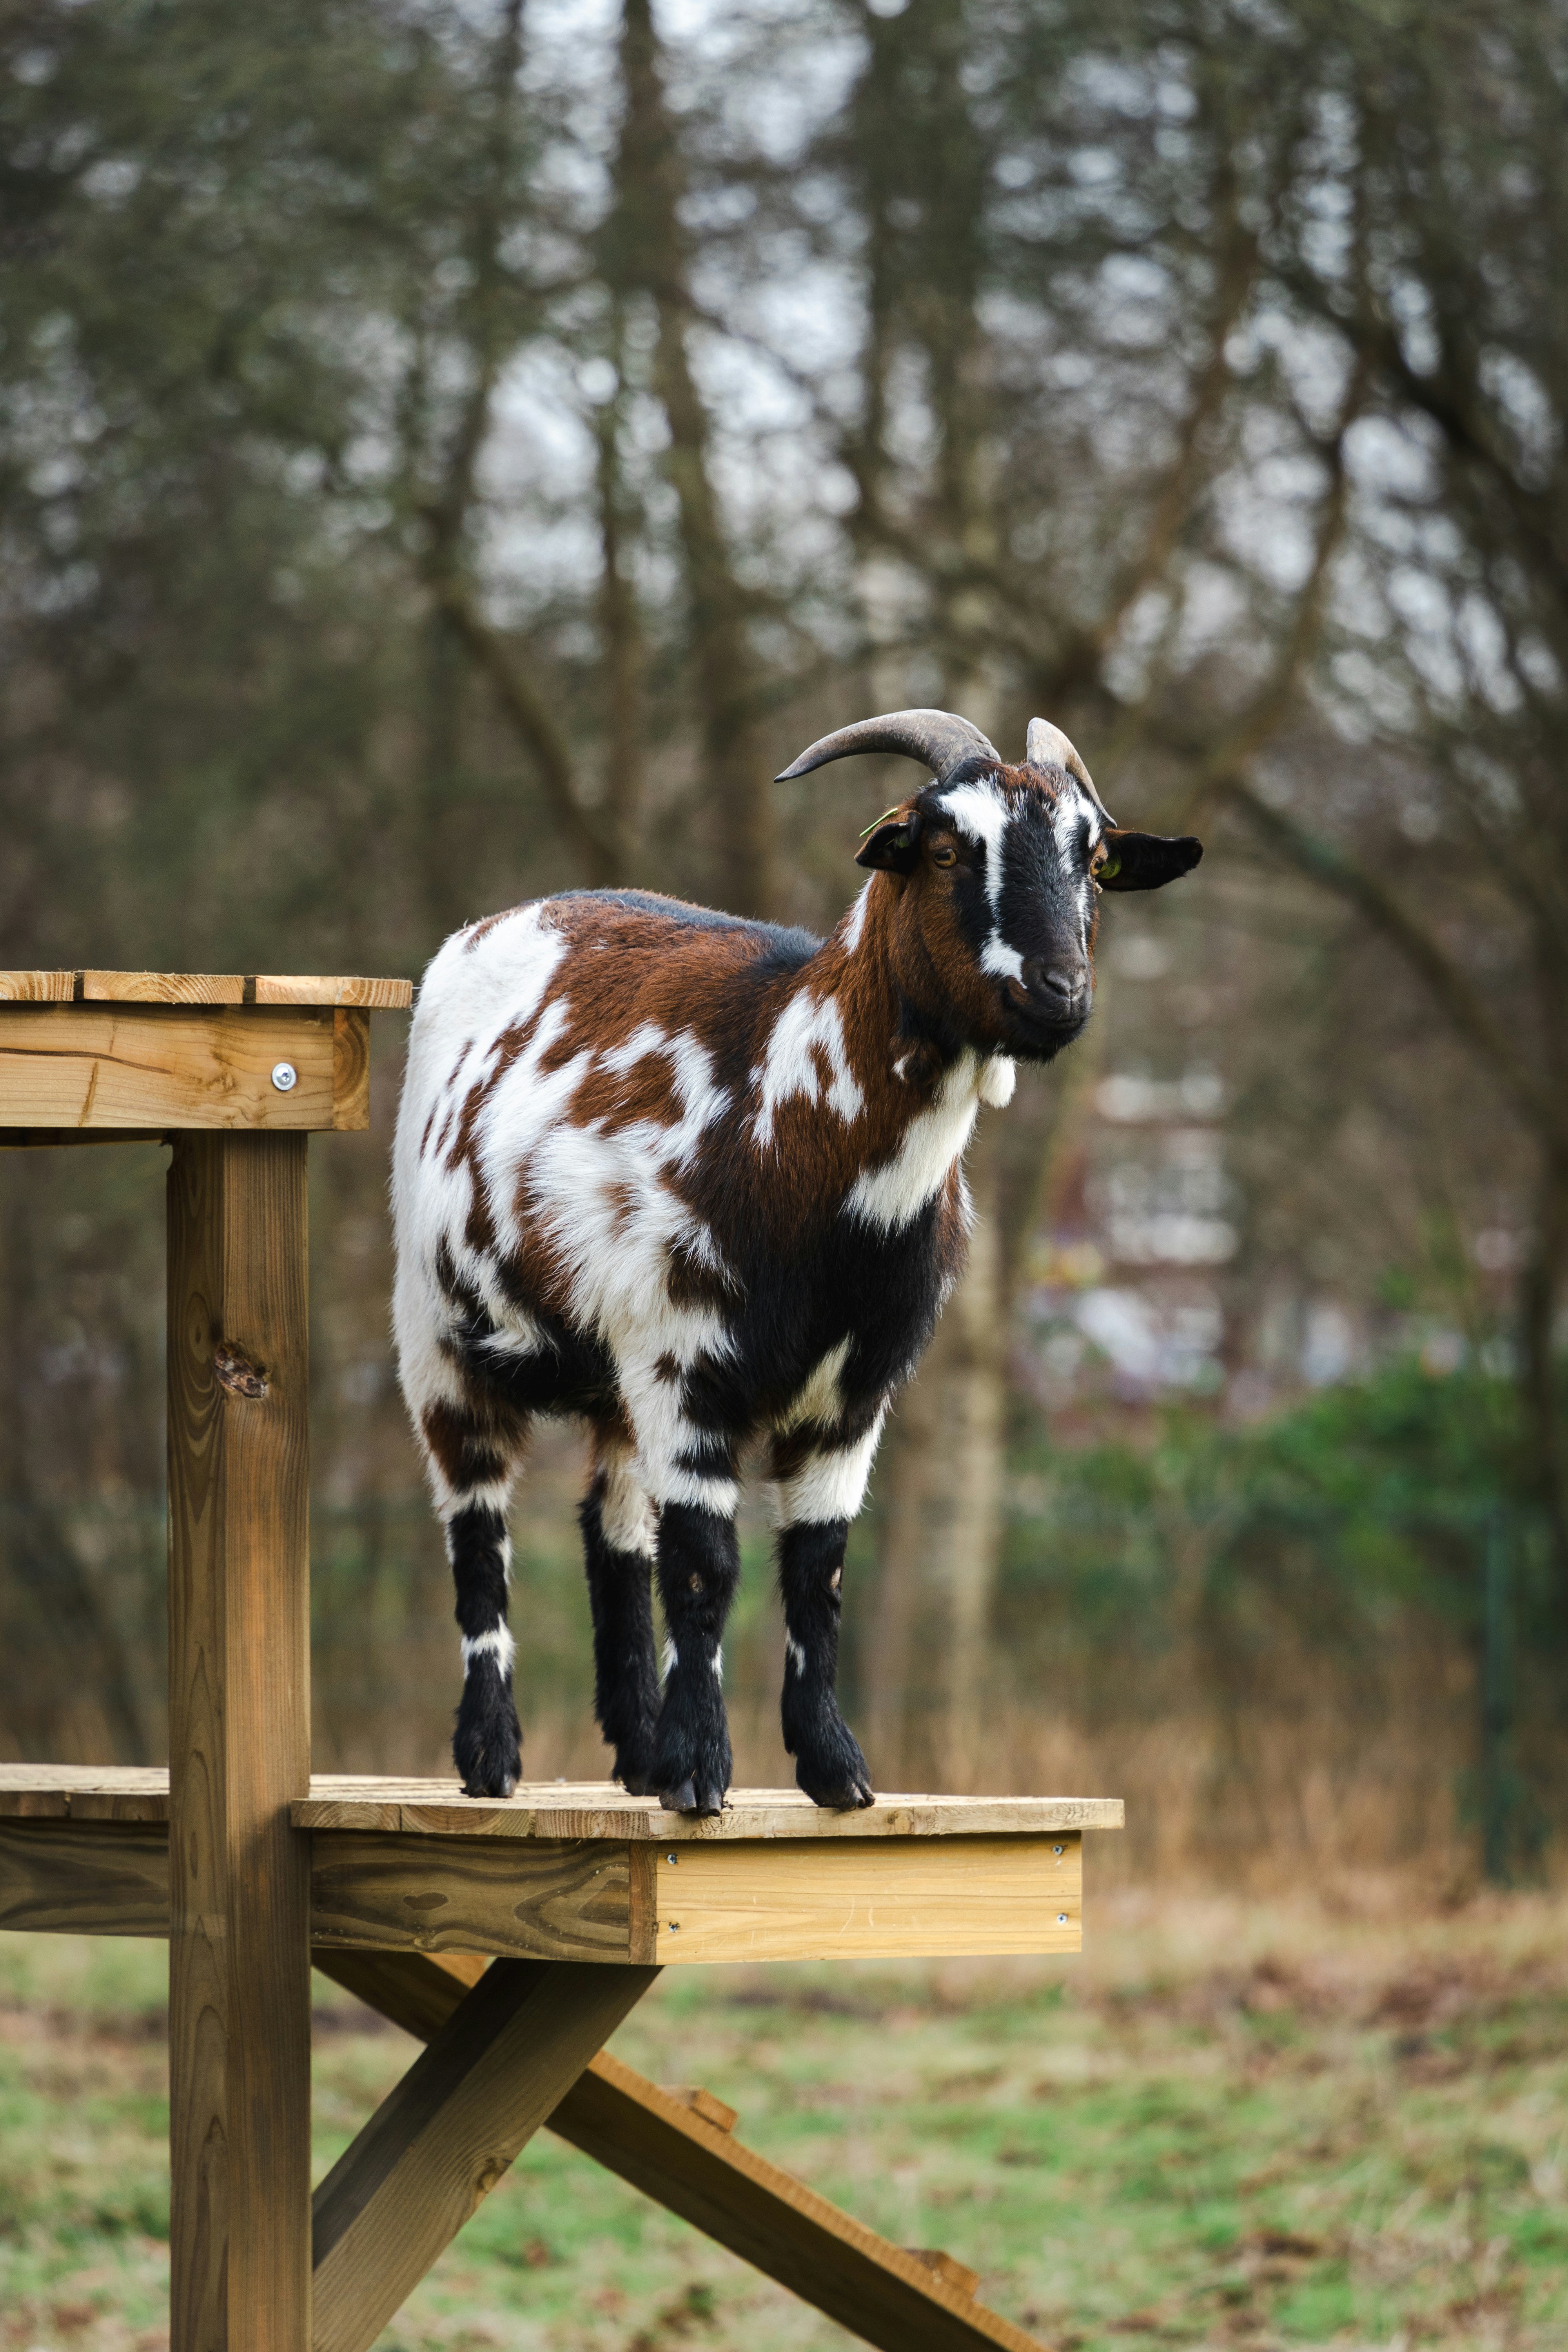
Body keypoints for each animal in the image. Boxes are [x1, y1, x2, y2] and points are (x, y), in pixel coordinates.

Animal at [392, 708, 1202, 1812]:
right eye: (943, 848)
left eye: (1093, 857)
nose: (1058, 993)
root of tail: (494, 926)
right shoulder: (685, 1364)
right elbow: (705, 1566)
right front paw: (702, 1771)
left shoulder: (851, 1396)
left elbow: (816, 1572)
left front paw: (831, 1768)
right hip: (438, 1340)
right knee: (477, 1529)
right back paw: (492, 1756)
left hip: (614, 1387)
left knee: (613, 1529)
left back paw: (634, 1751)